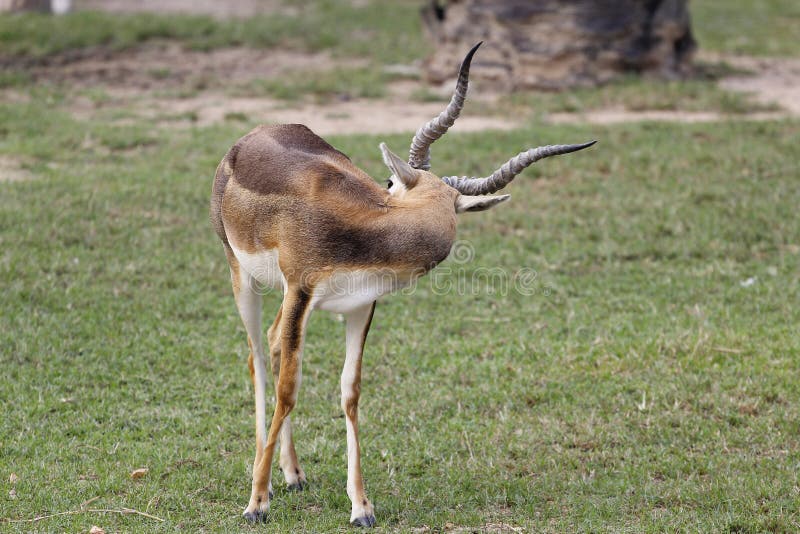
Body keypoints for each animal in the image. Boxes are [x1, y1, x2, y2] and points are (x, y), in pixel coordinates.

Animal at [210, 42, 595, 527]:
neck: (363, 235)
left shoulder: (359, 305)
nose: (386, 187)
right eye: (390, 179)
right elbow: (288, 389)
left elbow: (350, 391)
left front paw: (361, 506)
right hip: (242, 277)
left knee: (274, 343)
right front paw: (257, 502)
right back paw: (267, 477)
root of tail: (253, 135)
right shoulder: (301, 290)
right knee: (259, 357)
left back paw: (293, 474)